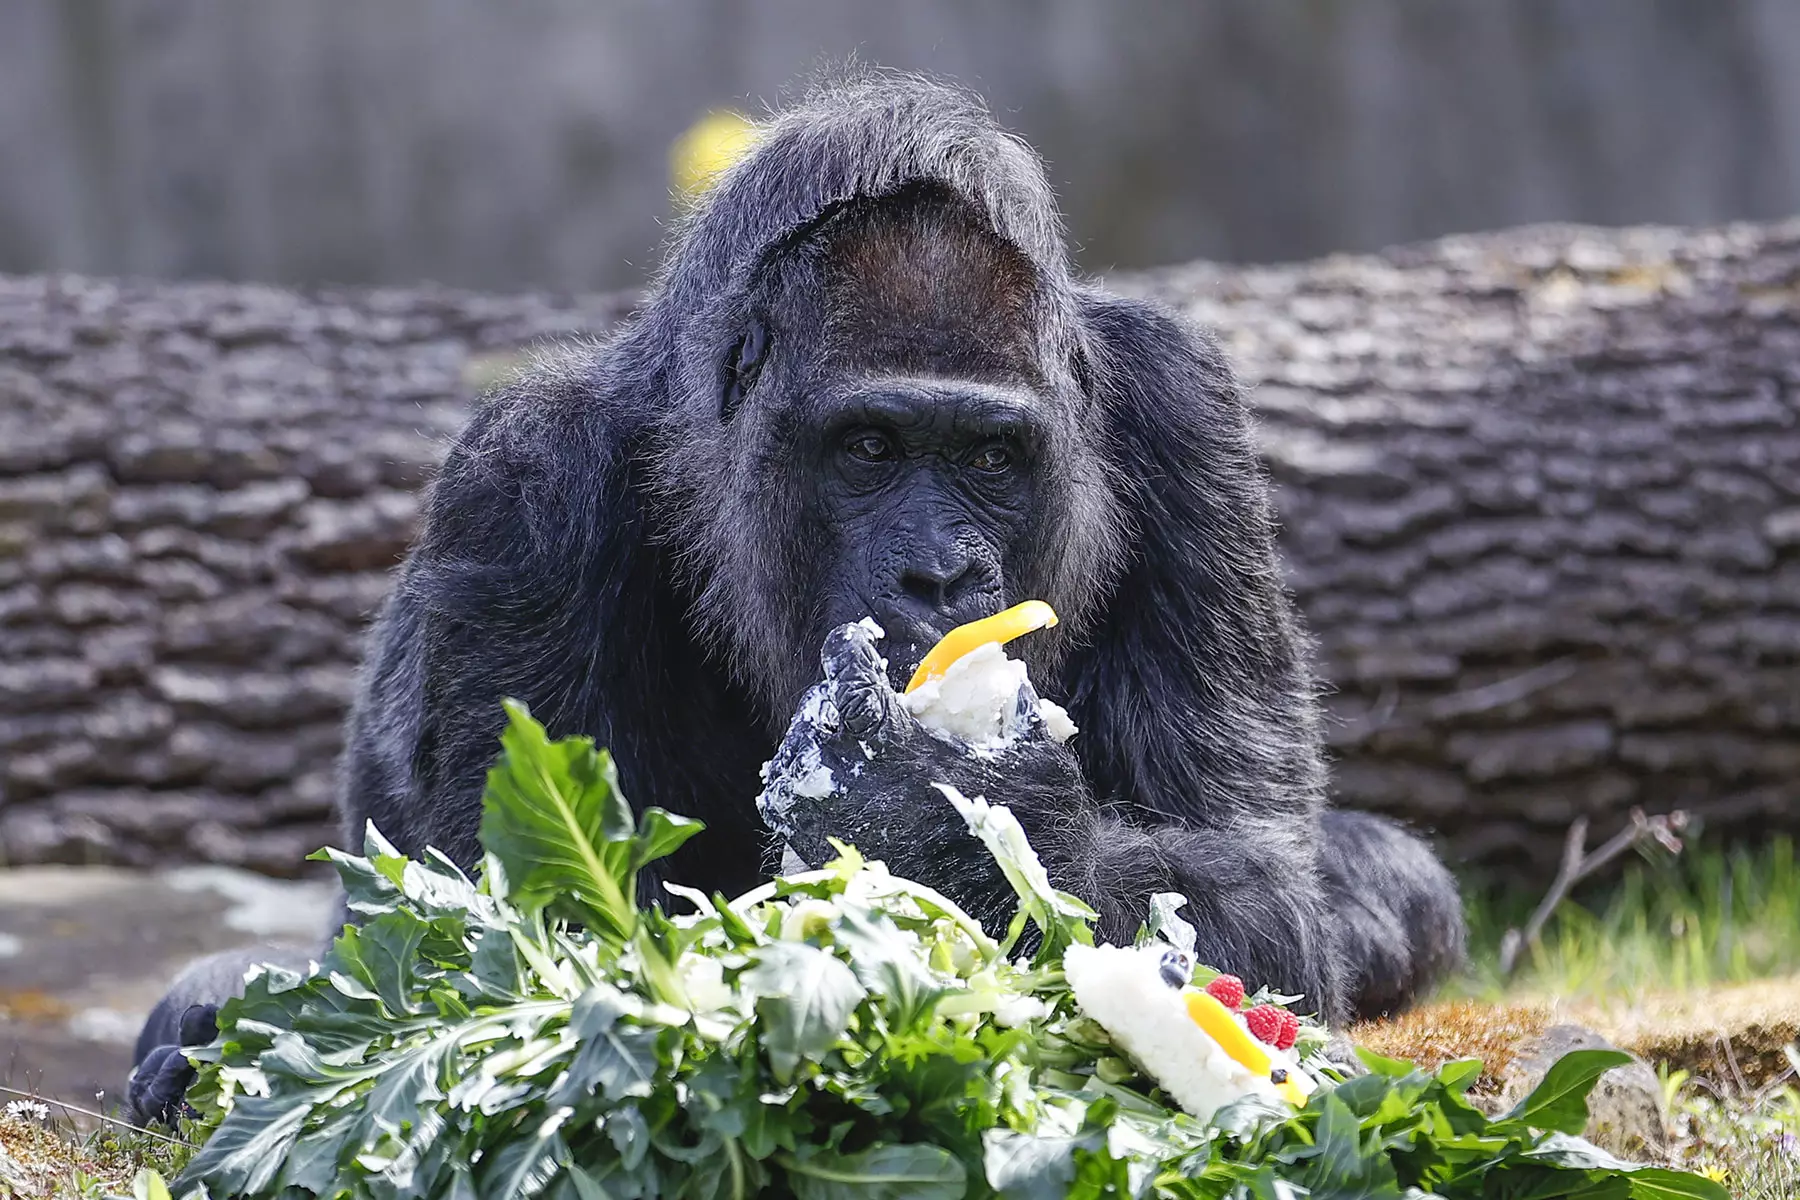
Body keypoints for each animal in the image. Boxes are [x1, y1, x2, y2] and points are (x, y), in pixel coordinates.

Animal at [133, 75, 1468, 1129]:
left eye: (990, 458)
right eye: (869, 448)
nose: (940, 575)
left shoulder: (1187, 412)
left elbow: (1263, 883)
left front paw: (952, 821)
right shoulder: (517, 490)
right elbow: (509, 950)